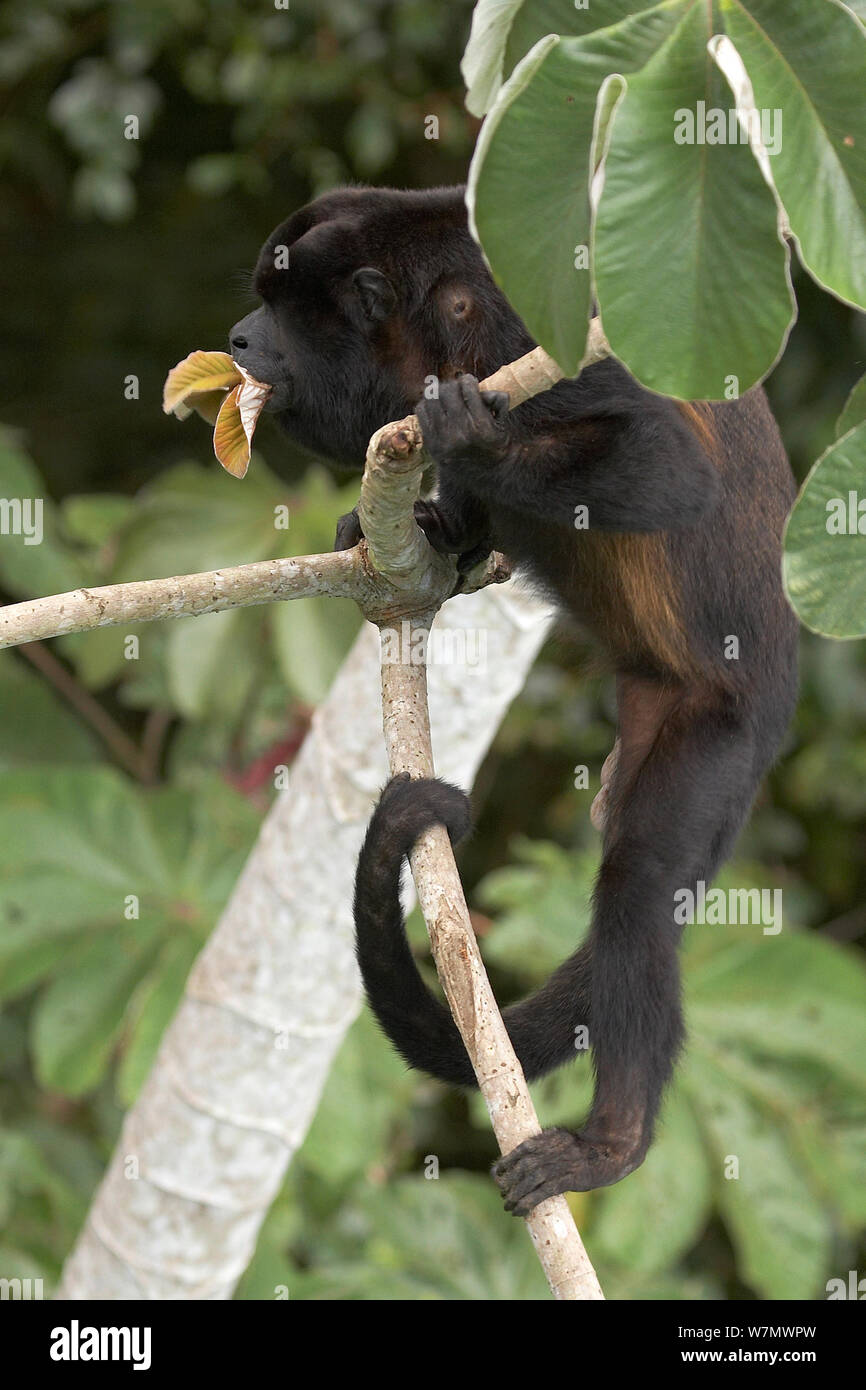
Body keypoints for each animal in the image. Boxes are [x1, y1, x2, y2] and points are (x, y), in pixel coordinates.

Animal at [229, 184, 799, 1215]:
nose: (237, 335)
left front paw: (470, 438)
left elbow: (669, 467)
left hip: (722, 723)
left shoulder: (527, 321)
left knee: (640, 886)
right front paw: (430, 518)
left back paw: (611, 1145)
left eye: (281, 305)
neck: (426, 319)